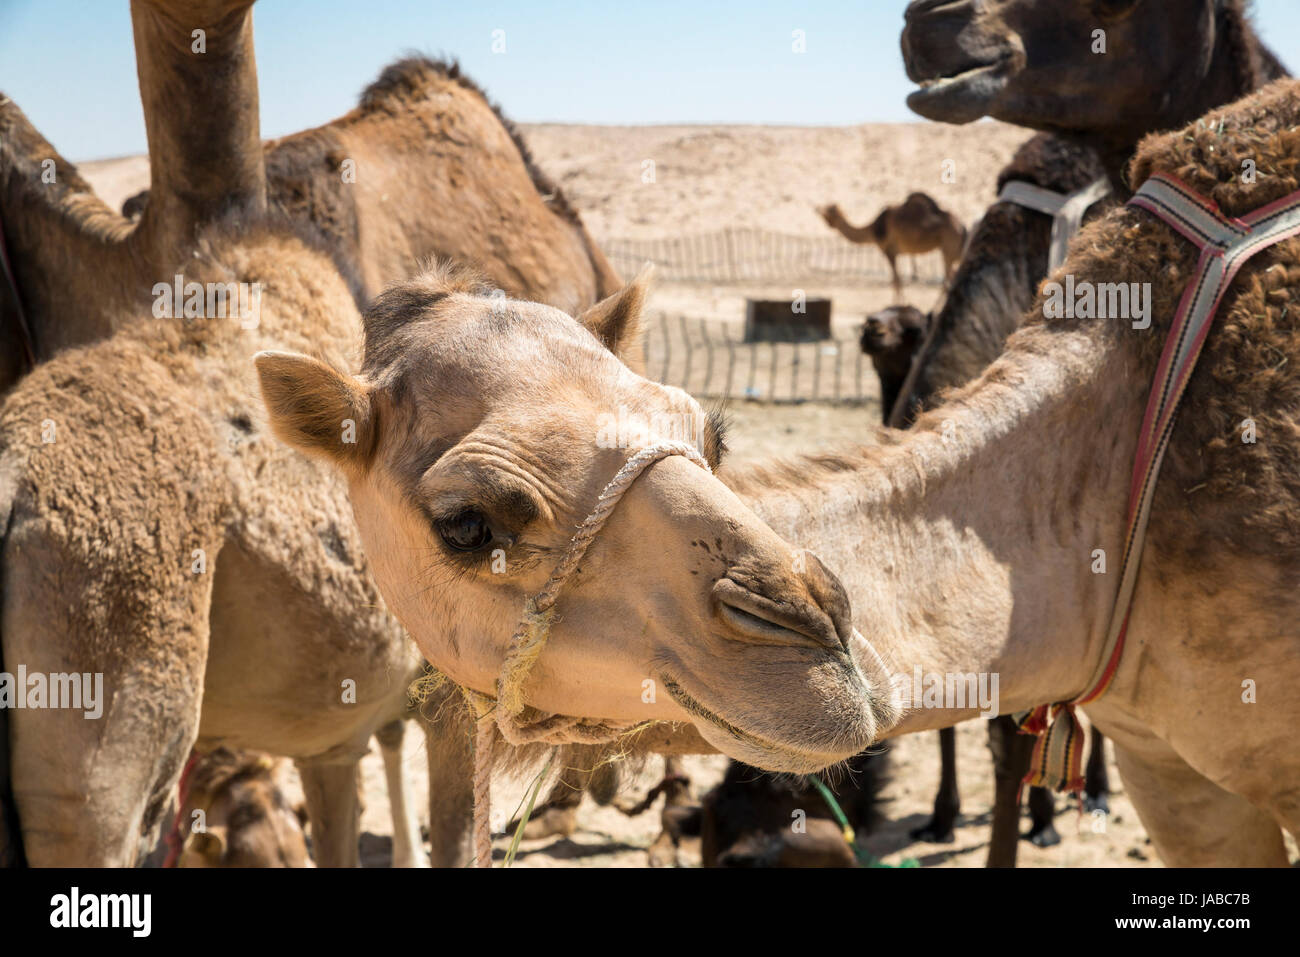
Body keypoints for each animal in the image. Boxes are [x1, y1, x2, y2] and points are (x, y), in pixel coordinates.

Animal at [818, 193, 965, 299]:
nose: (818, 209)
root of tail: (962, 227)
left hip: (948, 249)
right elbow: (897, 282)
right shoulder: (894, 253)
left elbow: (896, 282)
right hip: (952, 252)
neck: (873, 229)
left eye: (829, 210)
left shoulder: (889, 251)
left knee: (948, 281)